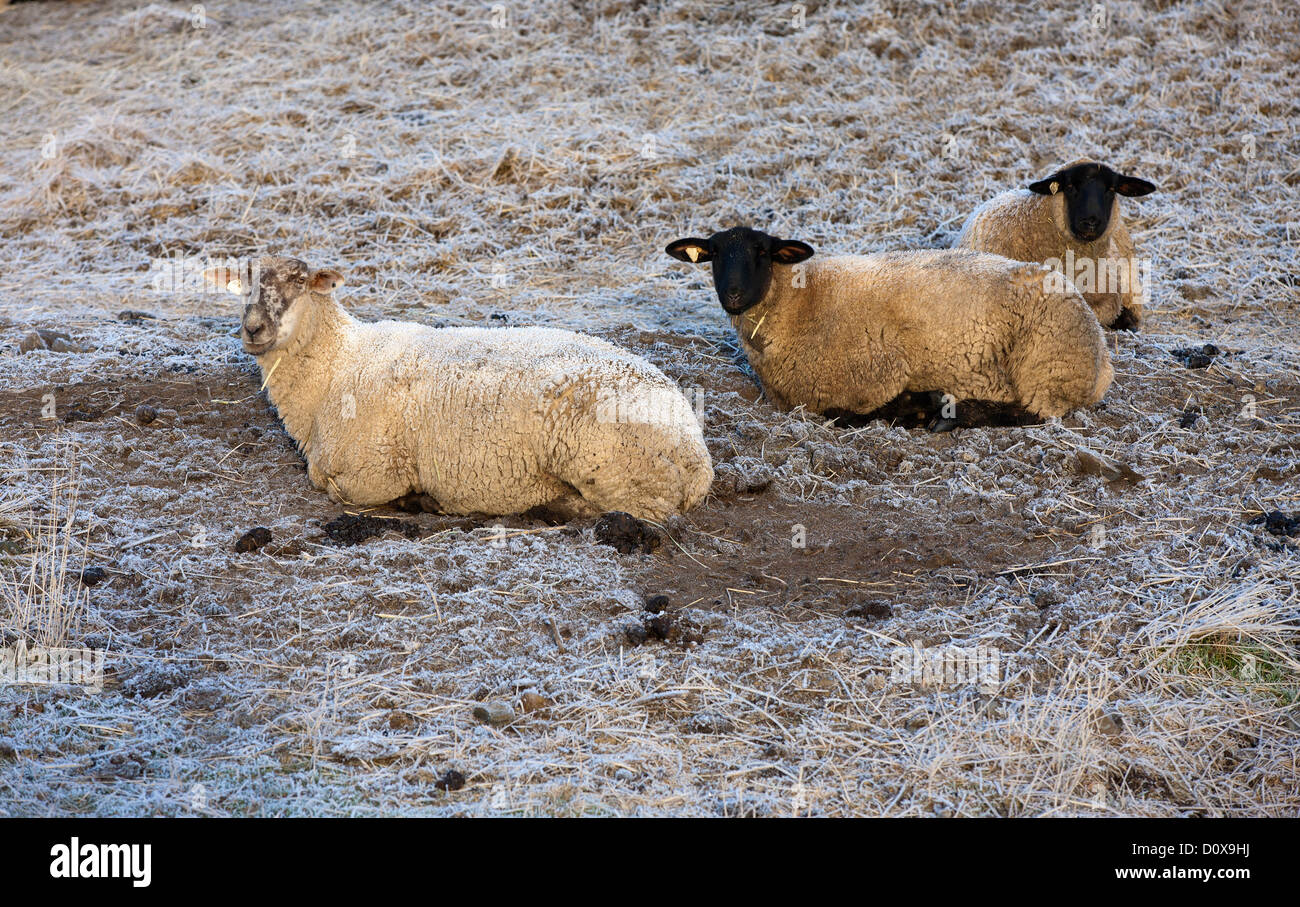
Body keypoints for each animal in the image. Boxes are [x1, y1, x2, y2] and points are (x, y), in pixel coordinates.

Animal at [205, 256, 712, 521]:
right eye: (244, 287)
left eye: (298, 284)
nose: (252, 329)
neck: (337, 364)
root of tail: (699, 457)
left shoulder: (372, 472)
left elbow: (340, 490)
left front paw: (416, 498)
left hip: (610, 464)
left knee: (622, 510)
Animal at [665, 227, 1111, 421]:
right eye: (713, 255)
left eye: (762, 252)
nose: (733, 294)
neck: (800, 300)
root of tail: (1104, 357)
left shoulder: (870, 377)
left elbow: (851, 412)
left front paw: (919, 407)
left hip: (1045, 365)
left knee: (1035, 413)